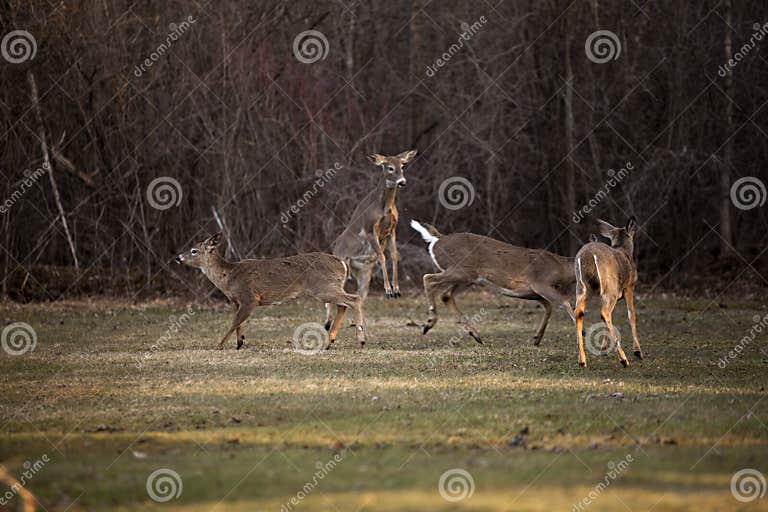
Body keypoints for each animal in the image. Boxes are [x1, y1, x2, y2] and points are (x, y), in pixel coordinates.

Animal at [175, 233, 366, 350]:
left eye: (194, 250)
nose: (178, 257)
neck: (228, 277)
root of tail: (341, 262)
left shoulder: (250, 297)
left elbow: (234, 322)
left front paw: (220, 345)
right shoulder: (236, 301)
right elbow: (238, 323)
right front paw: (239, 342)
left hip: (323, 288)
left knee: (354, 299)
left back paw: (361, 340)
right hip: (329, 288)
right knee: (343, 305)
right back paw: (329, 342)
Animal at [325, 150, 417, 327]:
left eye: (402, 166)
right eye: (389, 167)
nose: (402, 182)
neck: (385, 208)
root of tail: (334, 248)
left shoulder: (392, 230)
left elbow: (394, 256)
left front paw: (396, 290)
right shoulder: (369, 229)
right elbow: (381, 256)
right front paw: (388, 291)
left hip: (363, 272)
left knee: (357, 298)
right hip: (341, 268)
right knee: (333, 297)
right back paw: (327, 322)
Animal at [410, 220, 577, 345]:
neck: (561, 268)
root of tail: (439, 239)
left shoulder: (529, 292)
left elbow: (549, 307)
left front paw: (537, 339)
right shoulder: (541, 283)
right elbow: (565, 303)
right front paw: (581, 331)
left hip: (468, 278)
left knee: (445, 295)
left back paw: (476, 335)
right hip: (461, 270)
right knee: (428, 278)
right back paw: (429, 323)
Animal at [574, 217, 643, 368]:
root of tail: (588, 256)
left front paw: (603, 348)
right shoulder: (629, 286)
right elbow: (631, 314)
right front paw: (638, 352)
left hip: (581, 287)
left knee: (579, 312)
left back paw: (582, 360)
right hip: (610, 287)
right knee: (604, 313)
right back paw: (624, 359)